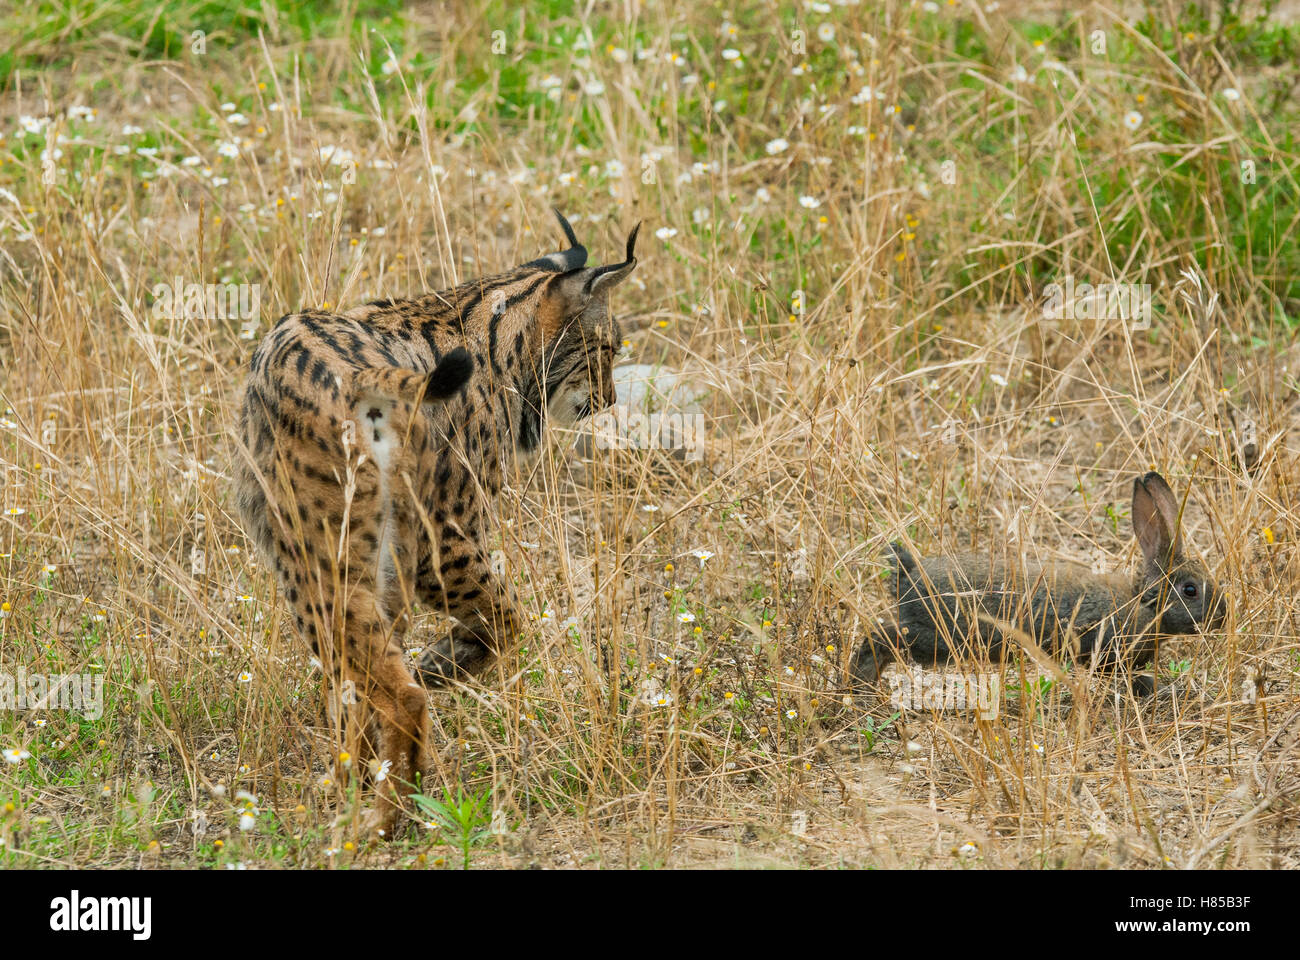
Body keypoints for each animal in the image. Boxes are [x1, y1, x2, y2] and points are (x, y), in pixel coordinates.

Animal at [850, 472, 1226, 698]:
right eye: (1190, 590)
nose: (1222, 615)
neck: (1142, 603)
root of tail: (909, 572)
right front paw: (1157, 689)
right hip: (937, 634)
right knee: (879, 636)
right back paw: (858, 685)